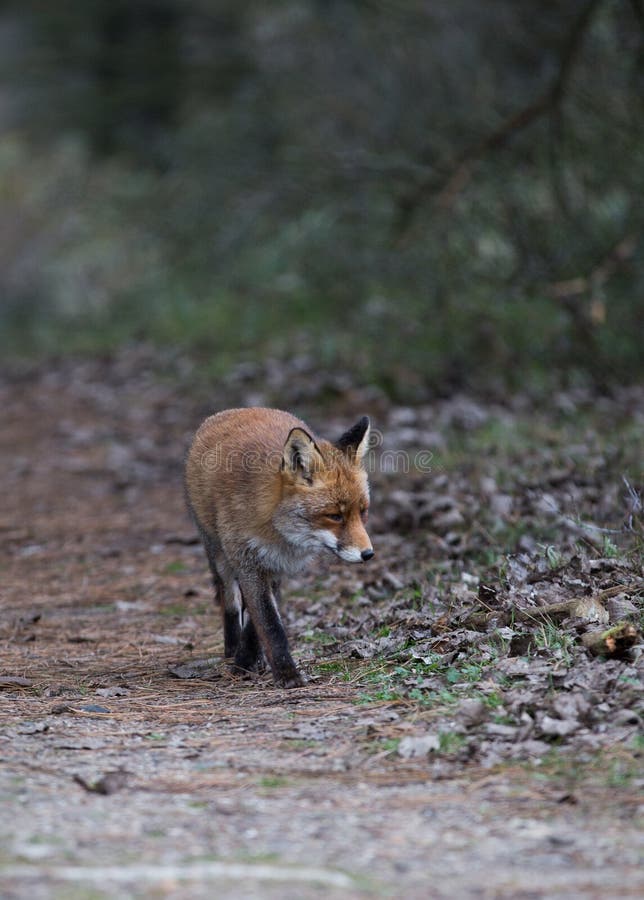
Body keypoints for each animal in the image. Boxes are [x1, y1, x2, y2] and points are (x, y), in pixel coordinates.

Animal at [185, 407, 374, 688]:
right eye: (335, 516)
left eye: (363, 512)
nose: (368, 554)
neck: (278, 534)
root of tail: (236, 410)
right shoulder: (248, 564)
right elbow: (269, 623)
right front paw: (285, 673)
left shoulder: (275, 568)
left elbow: (257, 624)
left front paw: (251, 660)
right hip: (218, 555)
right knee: (229, 601)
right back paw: (231, 649)